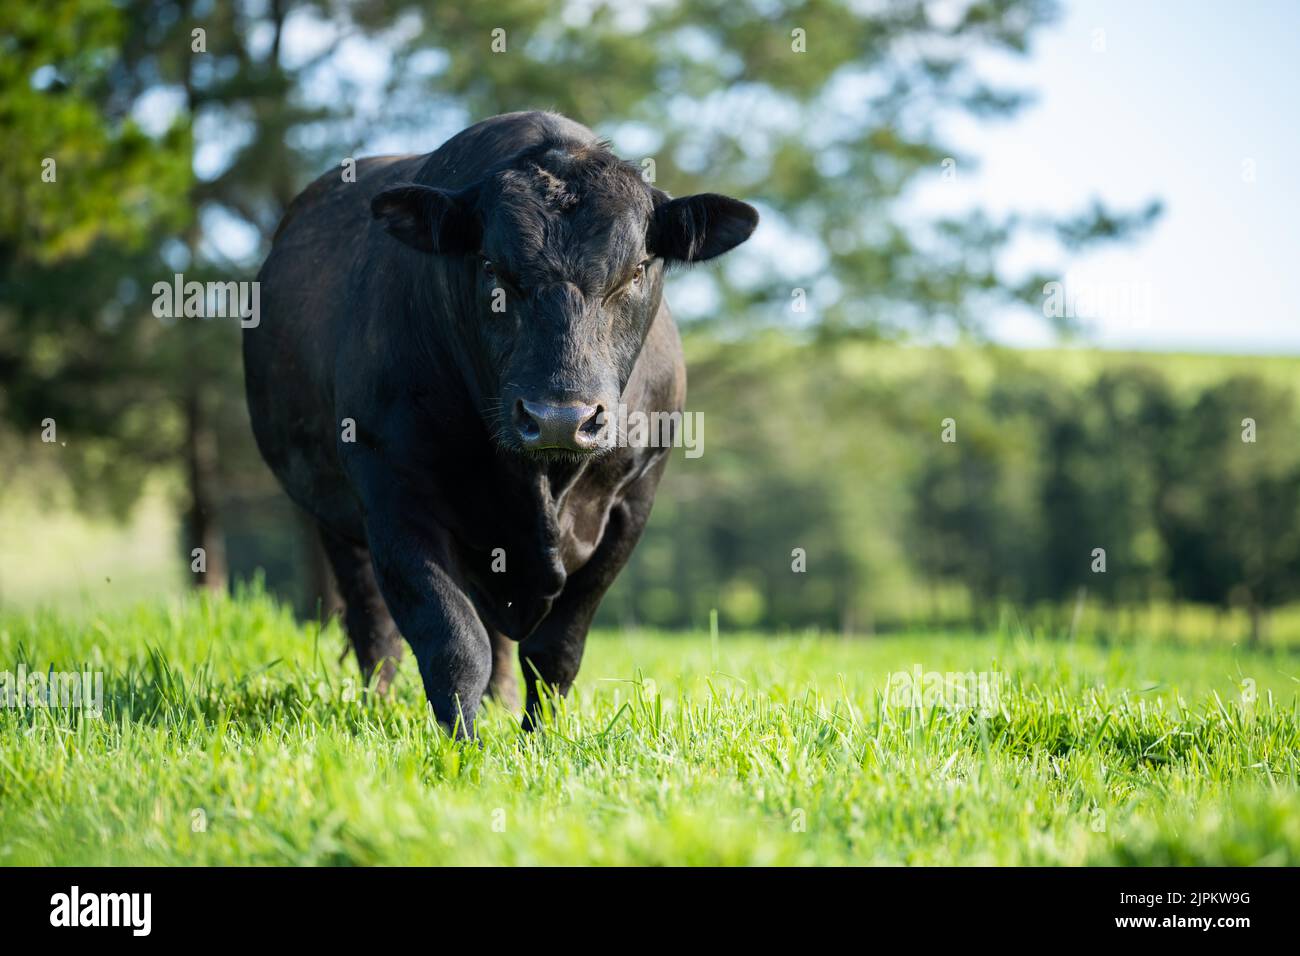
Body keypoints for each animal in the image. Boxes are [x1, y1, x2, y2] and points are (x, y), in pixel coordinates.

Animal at [244, 111, 757, 736]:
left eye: (636, 270)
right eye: (492, 268)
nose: (560, 419)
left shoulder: (633, 499)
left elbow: (556, 649)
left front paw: (540, 738)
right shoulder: (391, 486)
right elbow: (453, 639)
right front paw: (461, 743)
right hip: (332, 515)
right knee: (374, 628)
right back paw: (381, 706)